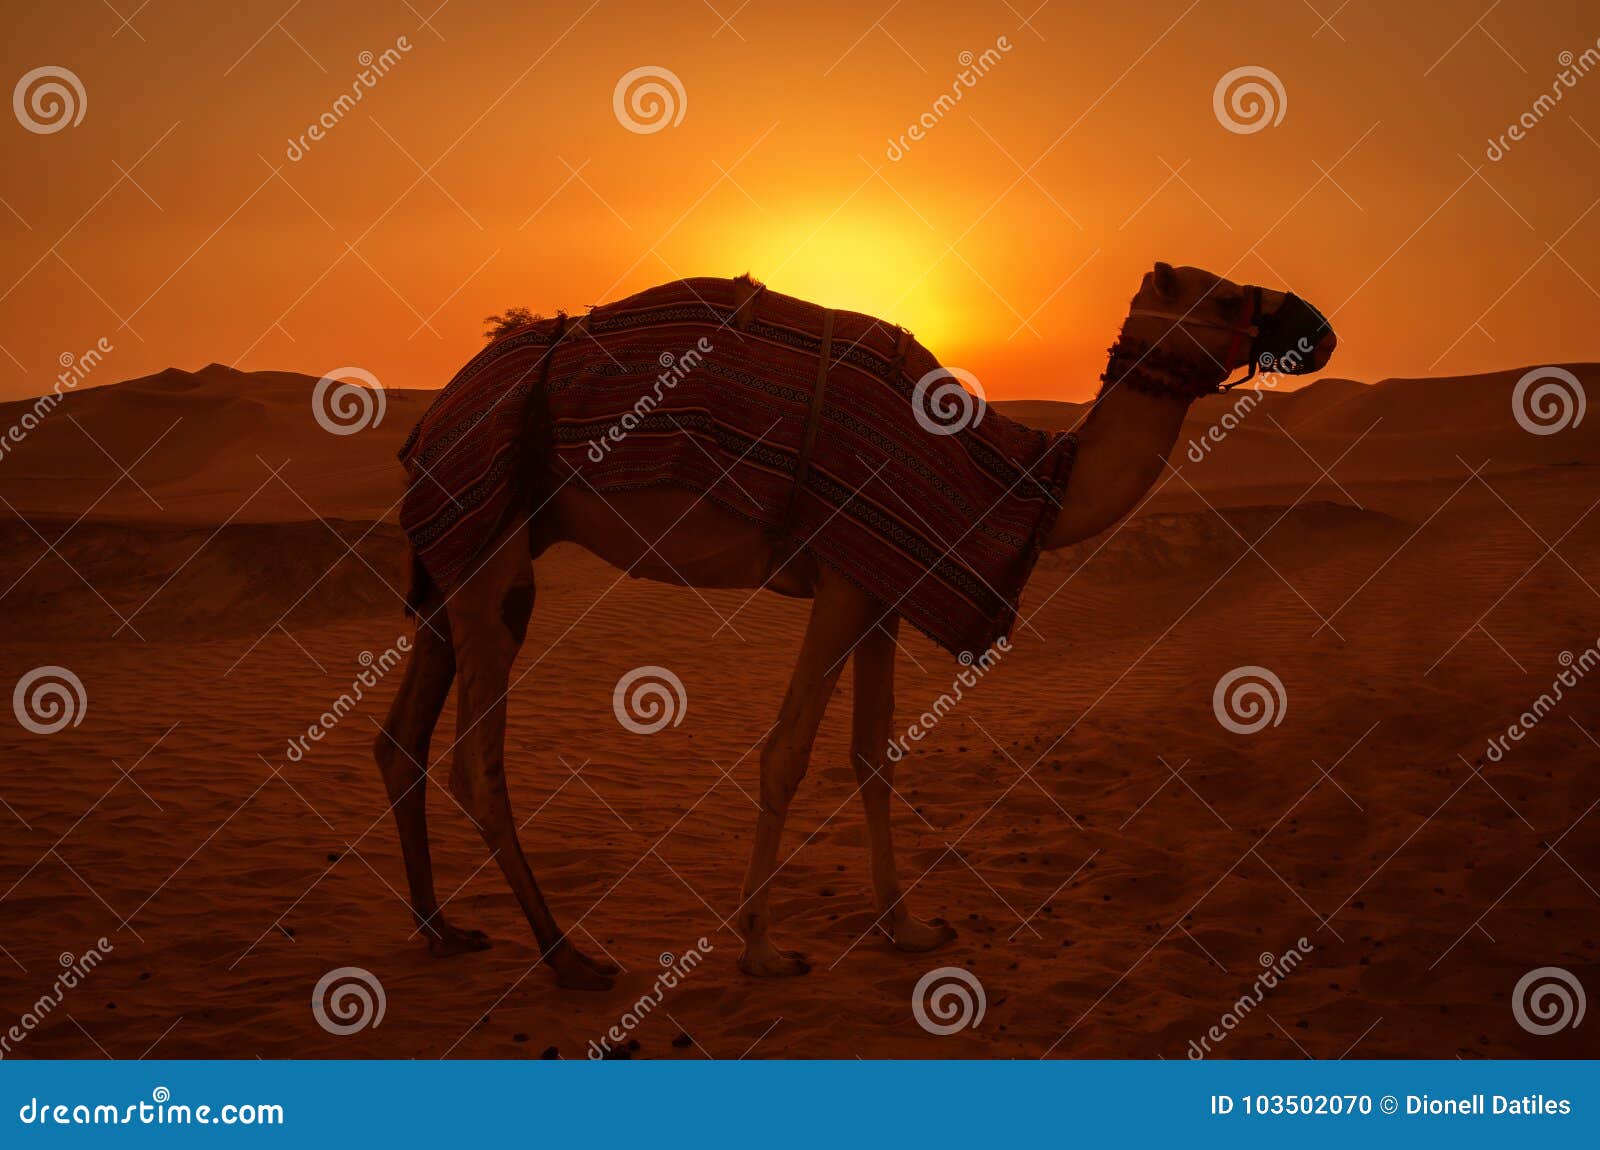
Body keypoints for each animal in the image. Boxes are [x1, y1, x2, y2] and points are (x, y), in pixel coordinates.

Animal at [373, 262, 1336, 989]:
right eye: (1225, 298)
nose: (1316, 325)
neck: (1010, 474)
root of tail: (438, 412)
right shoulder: (842, 583)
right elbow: (787, 752)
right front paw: (763, 949)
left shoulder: (882, 590)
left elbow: (874, 752)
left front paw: (907, 928)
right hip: (493, 552)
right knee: (474, 759)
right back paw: (566, 956)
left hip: (461, 552)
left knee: (401, 740)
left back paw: (442, 929)